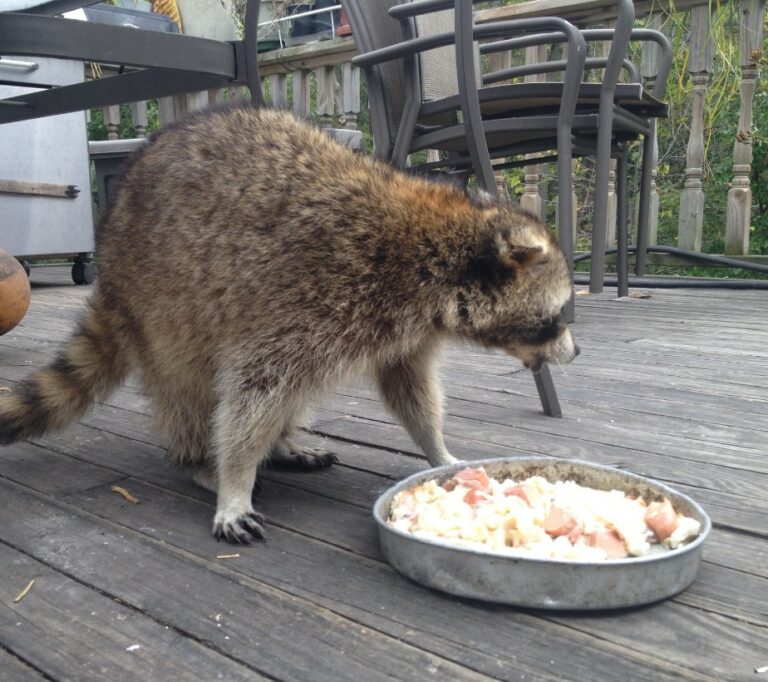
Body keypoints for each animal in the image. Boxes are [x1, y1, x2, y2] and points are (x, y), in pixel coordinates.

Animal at [0, 106, 578, 544]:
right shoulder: (317, 297)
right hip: (161, 309)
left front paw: (437, 450)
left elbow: (408, 389)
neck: (440, 249)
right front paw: (234, 478)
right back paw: (201, 459)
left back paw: (280, 443)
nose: (575, 354)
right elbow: (255, 387)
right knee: (191, 389)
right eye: (560, 317)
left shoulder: (403, 330)